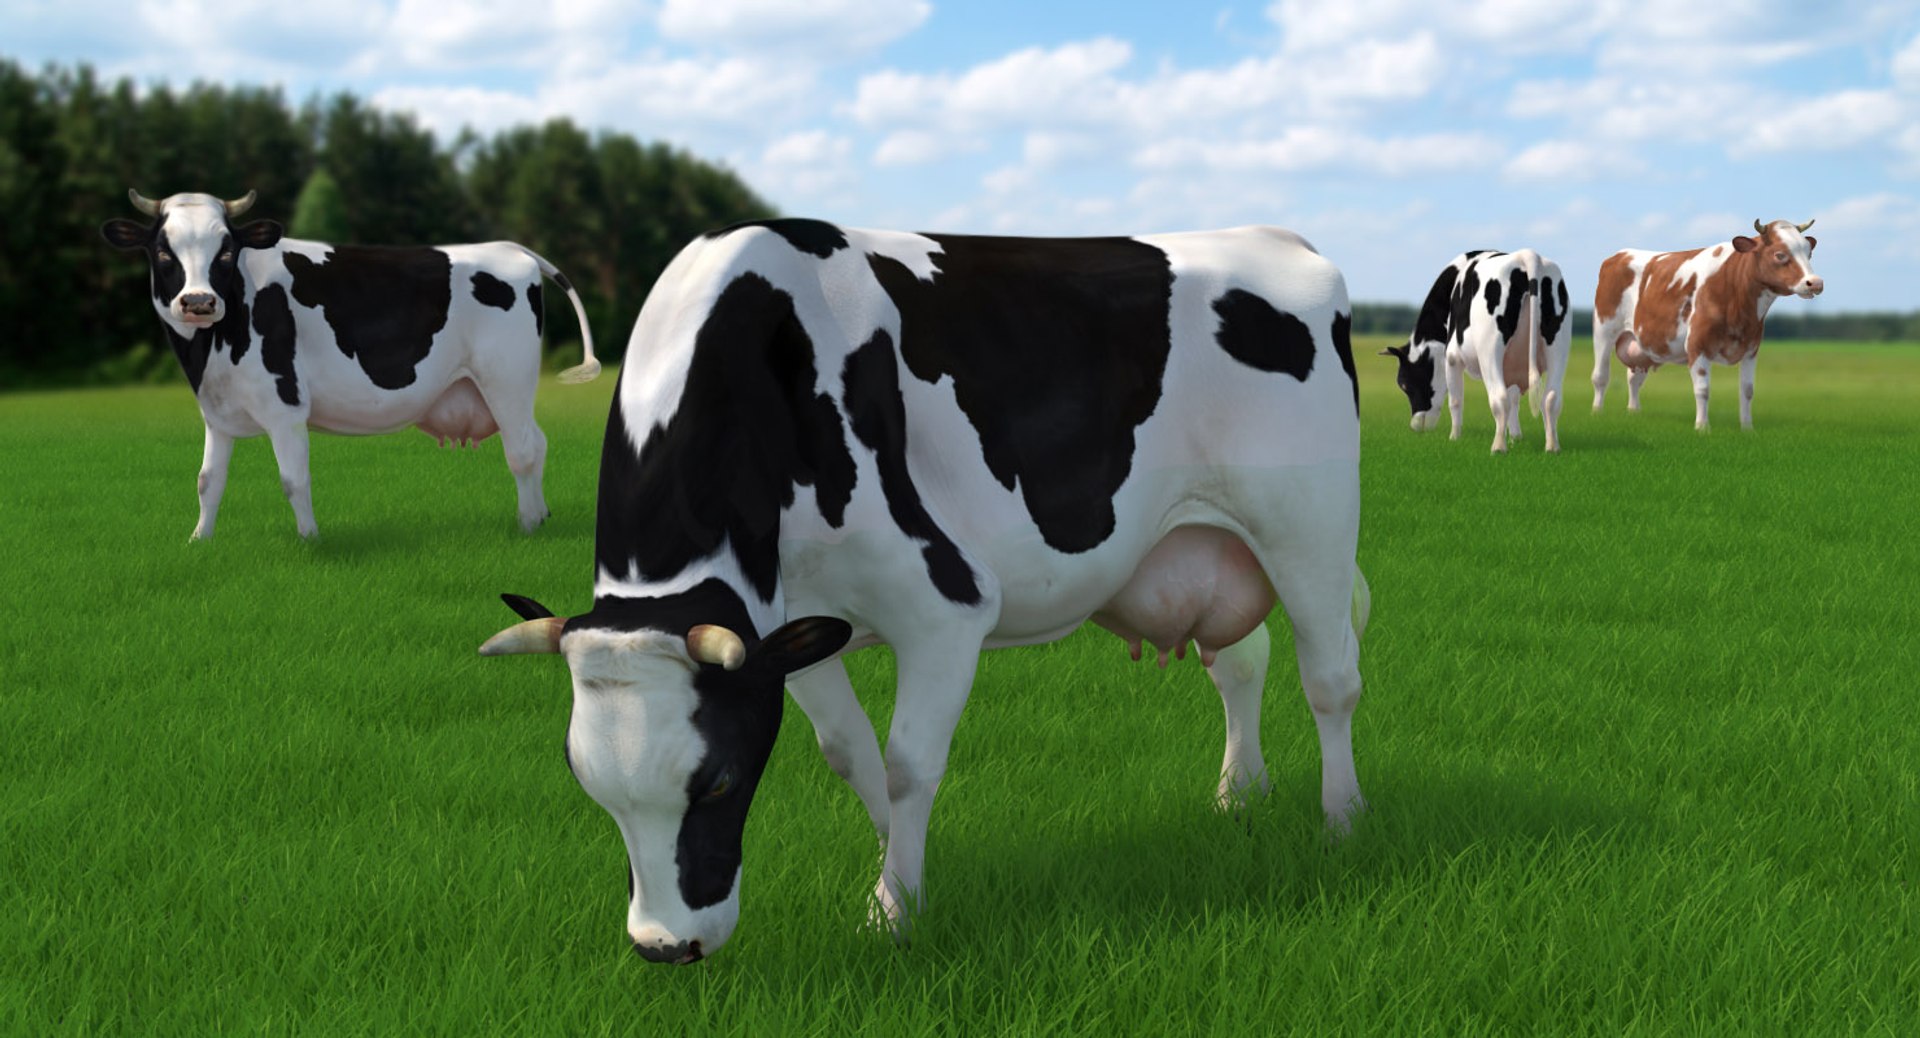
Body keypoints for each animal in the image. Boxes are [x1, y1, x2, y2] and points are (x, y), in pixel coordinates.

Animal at [100, 189, 600, 540]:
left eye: (225, 250)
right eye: (163, 251)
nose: (199, 301)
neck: (210, 353)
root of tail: (509, 248)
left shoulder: (285, 407)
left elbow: (293, 479)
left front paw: (310, 541)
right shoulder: (217, 413)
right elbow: (207, 481)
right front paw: (199, 540)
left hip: (506, 379)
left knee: (522, 450)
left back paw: (528, 525)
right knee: (537, 442)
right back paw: (540, 515)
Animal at [477, 219, 1372, 963]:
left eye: (720, 781)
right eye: (590, 787)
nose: (665, 947)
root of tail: (1273, 236)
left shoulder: (945, 604)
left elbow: (909, 762)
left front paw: (891, 914)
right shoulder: (787, 630)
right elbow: (851, 753)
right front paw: (899, 872)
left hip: (1310, 526)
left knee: (1330, 679)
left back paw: (1342, 821)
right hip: (1212, 540)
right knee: (1241, 661)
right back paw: (1240, 795)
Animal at [1379, 249, 1572, 453]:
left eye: (1405, 385)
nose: (1416, 426)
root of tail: (1525, 255)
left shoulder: (1452, 358)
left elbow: (1455, 401)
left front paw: (1454, 438)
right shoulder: (1511, 366)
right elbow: (1514, 400)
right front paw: (1516, 438)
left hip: (1490, 349)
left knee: (1499, 397)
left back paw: (1498, 447)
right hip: (1558, 345)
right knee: (1550, 398)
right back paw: (1552, 447)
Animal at [1591, 219, 1823, 431]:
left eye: (1809, 253)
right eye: (1780, 255)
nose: (1816, 282)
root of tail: (1621, 254)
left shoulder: (1751, 348)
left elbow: (1747, 390)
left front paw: (1747, 427)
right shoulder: (1697, 345)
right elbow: (1703, 389)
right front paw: (1702, 427)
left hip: (1640, 344)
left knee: (1634, 377)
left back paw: (1634, 412)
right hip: (1604, 329)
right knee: (1600, 376)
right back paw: (1597, 412)